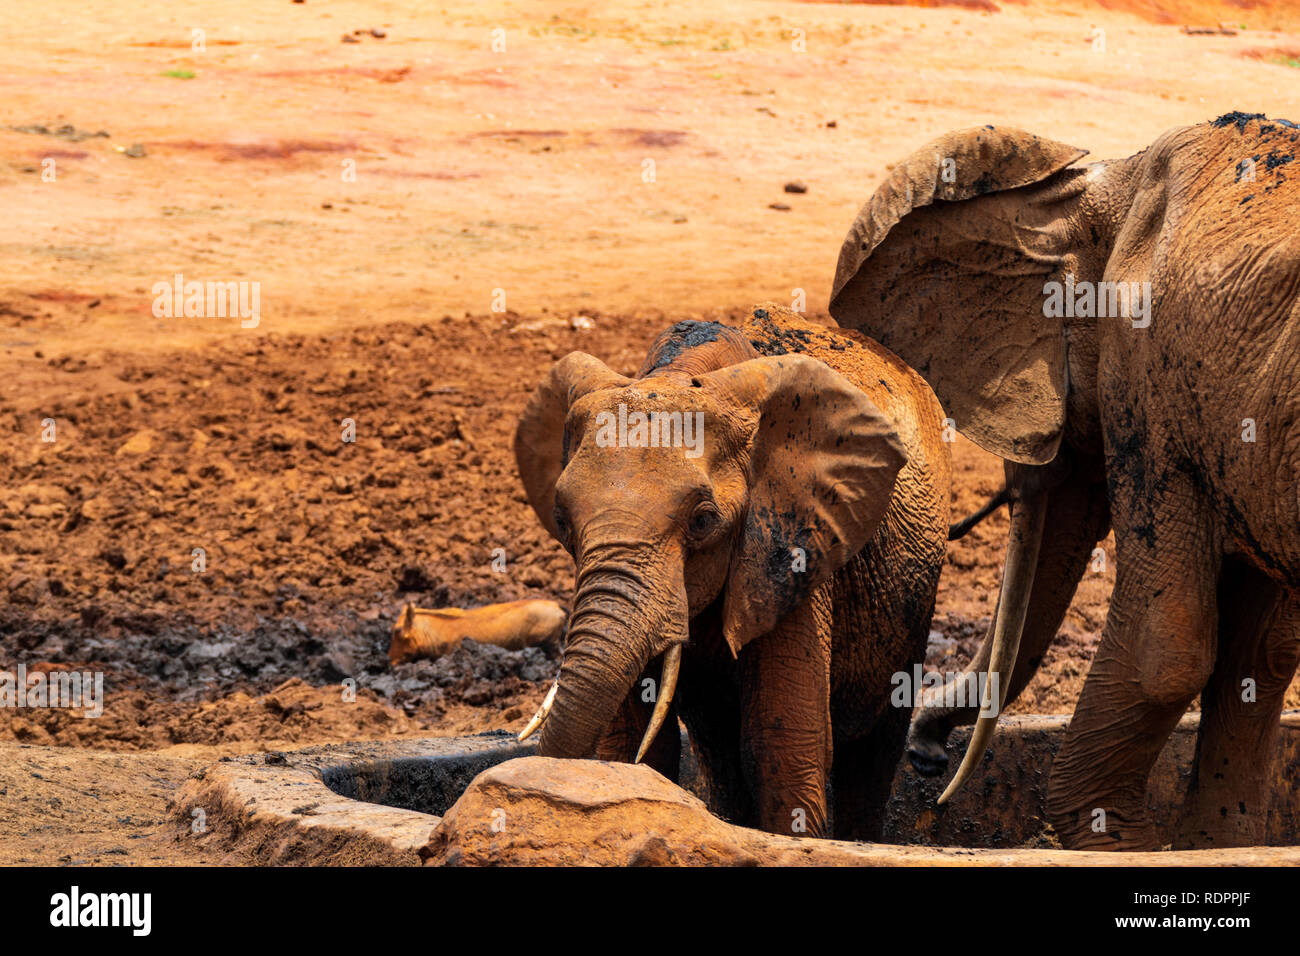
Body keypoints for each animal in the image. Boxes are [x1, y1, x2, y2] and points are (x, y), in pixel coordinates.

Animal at [512, 304, 951, 840]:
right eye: (561, 520)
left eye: (703, 521)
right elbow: (631, 741)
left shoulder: (792, 549)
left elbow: (783, 744)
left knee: (873, 752)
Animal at [829, 113, 1300, 850]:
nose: (928, 756)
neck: (1113, 182)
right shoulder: (1243, 418)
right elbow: (1260, 658)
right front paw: (1213, 844)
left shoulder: (1150, 370)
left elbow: (1167, 647)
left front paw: (1118, 843)